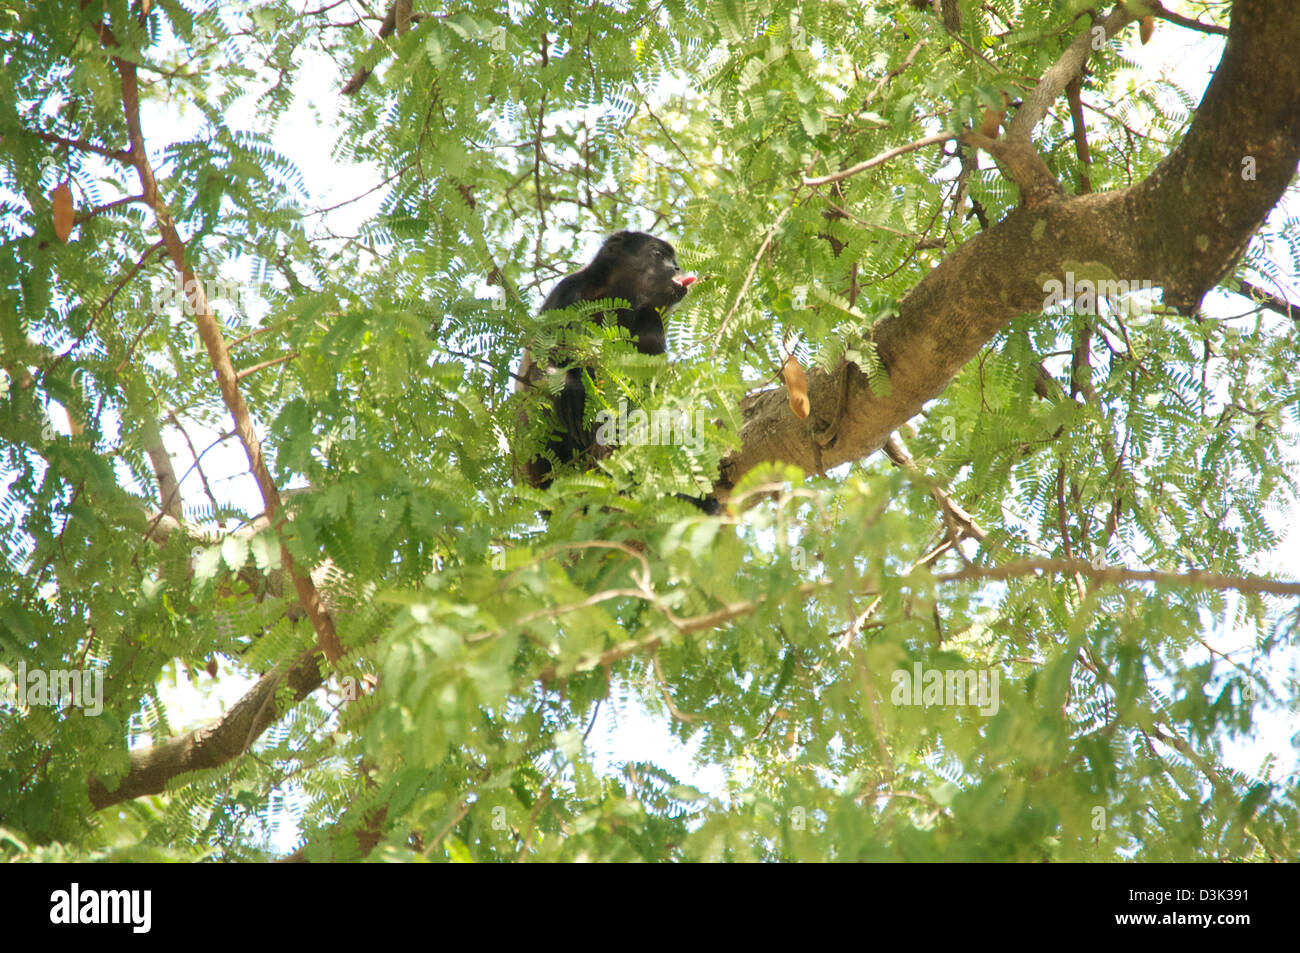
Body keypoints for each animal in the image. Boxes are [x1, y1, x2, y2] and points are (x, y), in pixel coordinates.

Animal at [515, 231, 716, 512]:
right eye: (658, 254)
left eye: (675, 260)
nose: (677, 268)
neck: (620, 301)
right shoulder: (568, 294)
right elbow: (540, 363)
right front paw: (570, 391)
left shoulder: (652, 325)